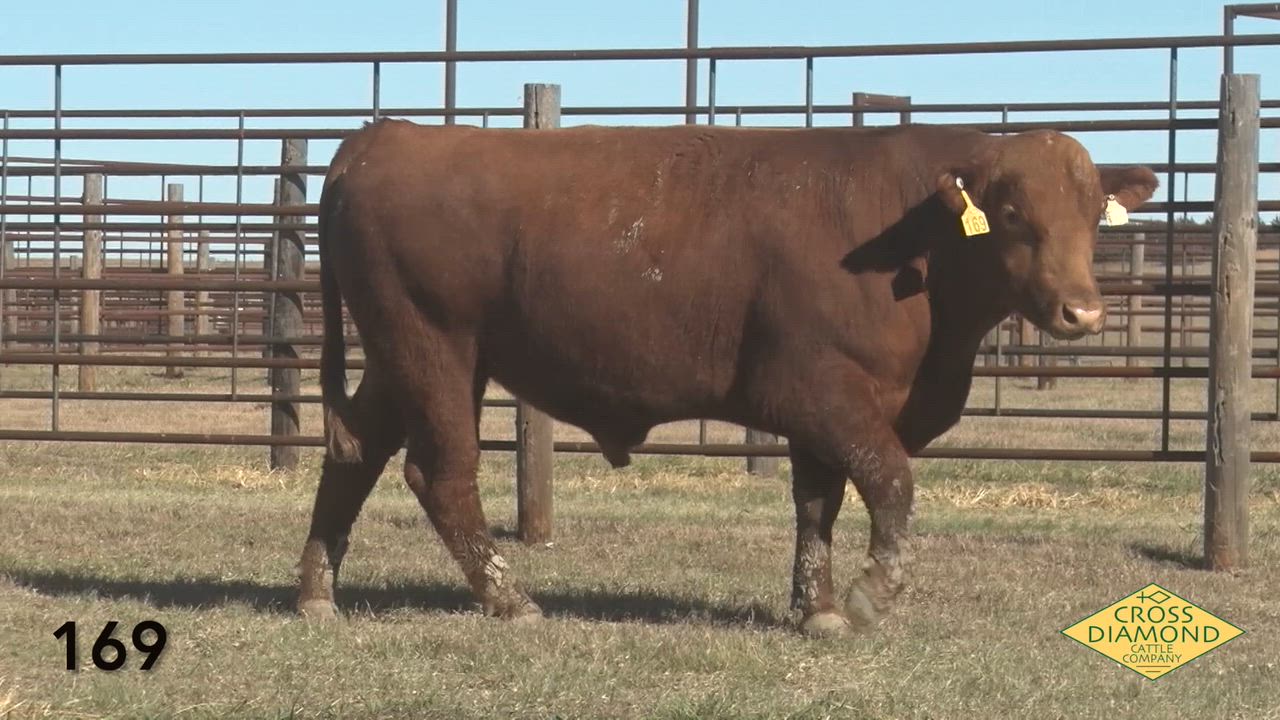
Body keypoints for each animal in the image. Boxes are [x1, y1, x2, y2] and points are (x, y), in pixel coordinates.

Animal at [296, 119, 1157, 636]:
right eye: (1012, 214)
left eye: (1094, 214)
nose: (1082, 310)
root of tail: (386, 136)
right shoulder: (822, 392)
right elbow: (892, 484)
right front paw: (871, 597)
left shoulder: (826, 417)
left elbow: (817, 507)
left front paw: (817, 609)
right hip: (434, 349)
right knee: (440, 474)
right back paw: (512, 600)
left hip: (403, 359)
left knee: (354, 454)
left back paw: (316, 594)